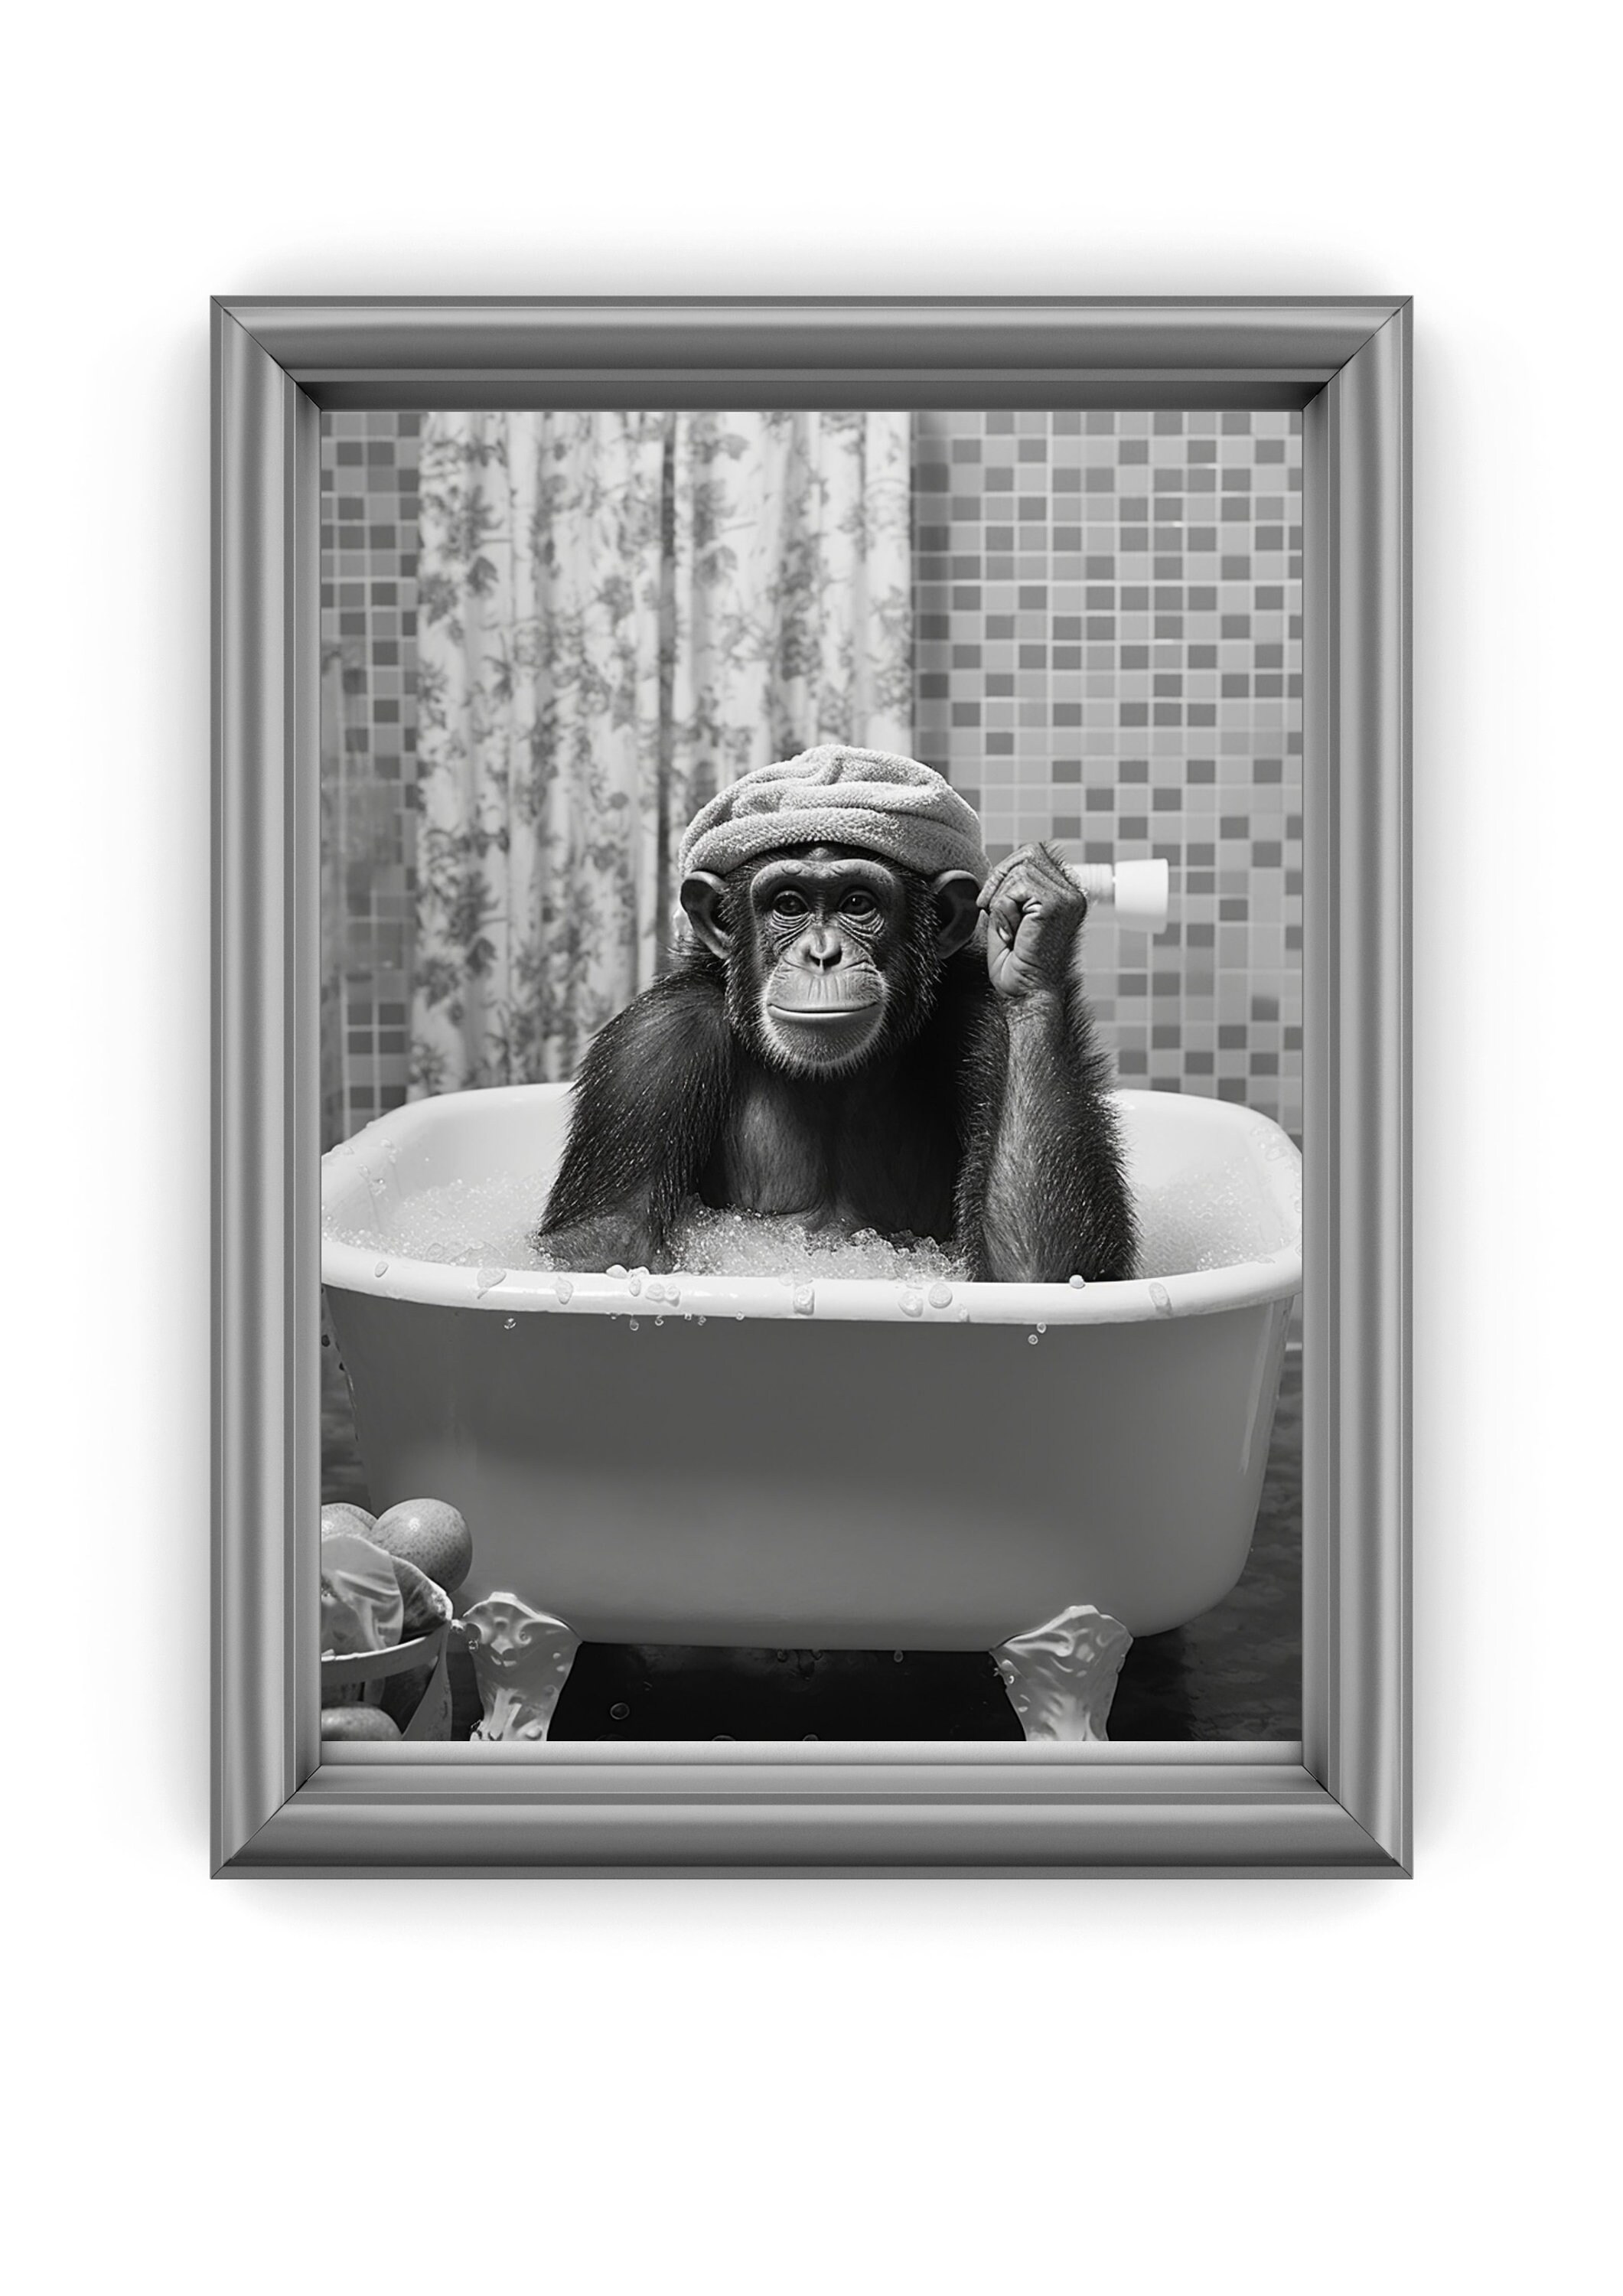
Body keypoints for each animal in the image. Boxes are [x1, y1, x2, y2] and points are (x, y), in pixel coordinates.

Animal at [534, 750, 1137, 1286]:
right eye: (789, 905)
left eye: (856, 903)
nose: (823, 954)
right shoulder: (650, 1048)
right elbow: (604, 1243)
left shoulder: (986, 1021)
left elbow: (1040, 1269)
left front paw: (1035, 923)